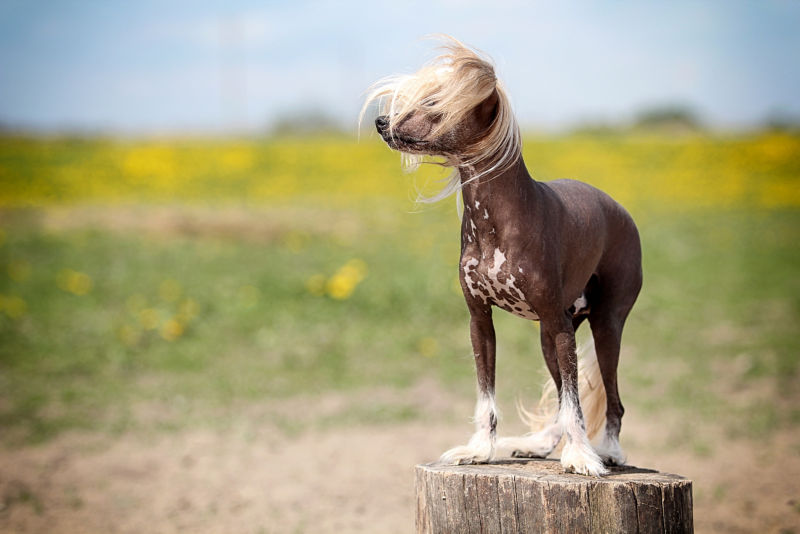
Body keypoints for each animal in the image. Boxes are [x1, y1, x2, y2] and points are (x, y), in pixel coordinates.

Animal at [362, 37, 644, 480]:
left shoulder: (561, 328)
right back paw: (541, 445)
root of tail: (620, 209)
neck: (495, 220)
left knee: (610, 399)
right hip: (550, 335)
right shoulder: (481, 321)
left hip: (604, 326)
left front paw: (582, 457)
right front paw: (479, 450)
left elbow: (576, 405)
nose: (381, 121)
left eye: (434, 103)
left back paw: (609, 451)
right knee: (563, 398)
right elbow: (487, 396)